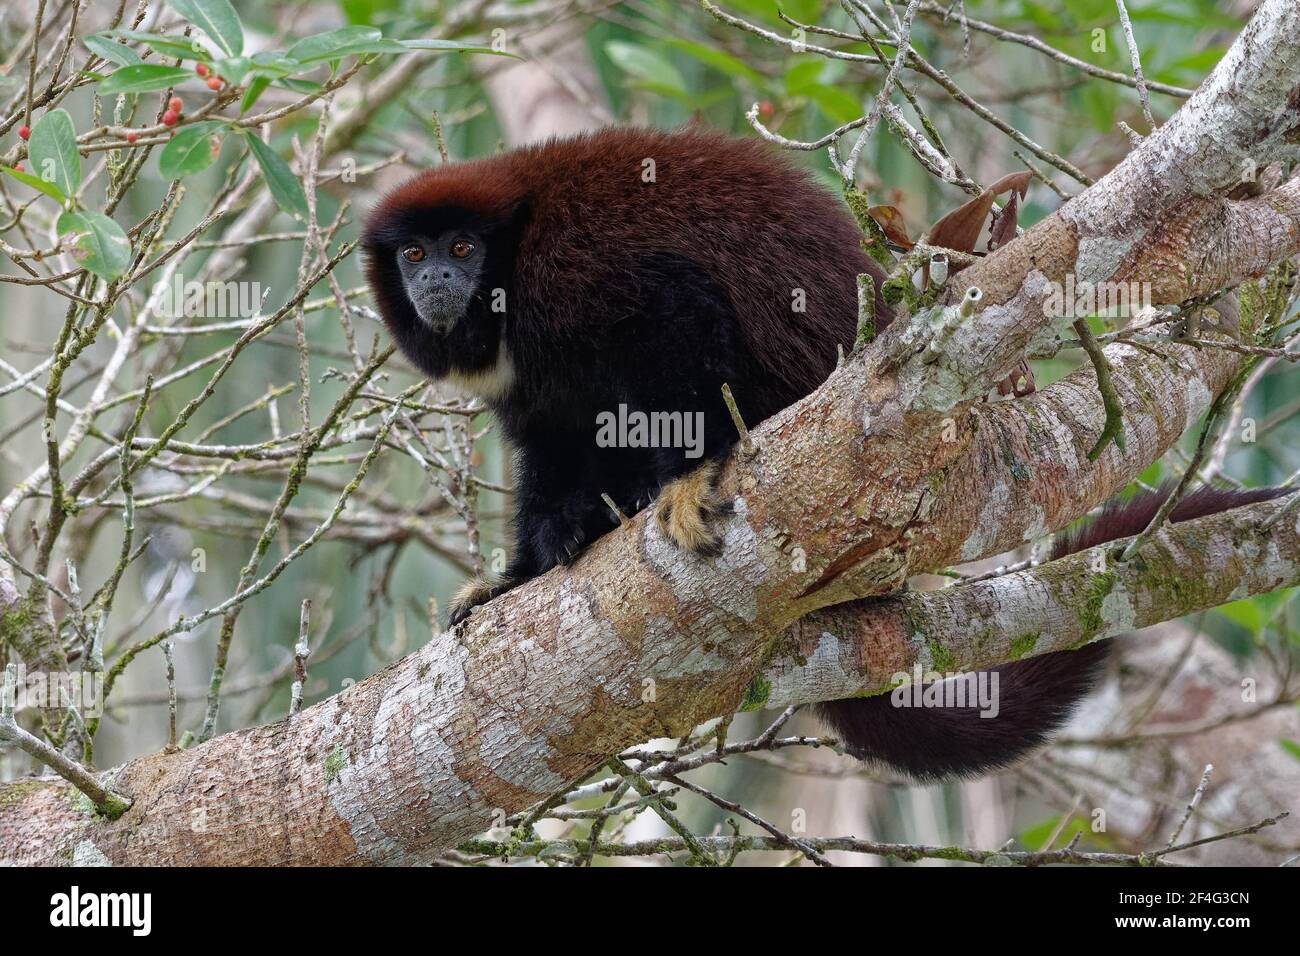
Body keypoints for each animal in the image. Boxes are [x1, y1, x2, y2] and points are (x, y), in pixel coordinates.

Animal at [363, 126, 1287, 779]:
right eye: (414, 252)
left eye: (461, 249)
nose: (435, 281)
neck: (509, 267)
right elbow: (553, 440)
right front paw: (518, 574)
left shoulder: (569, 275)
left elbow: (676, 313)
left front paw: (688, 477)